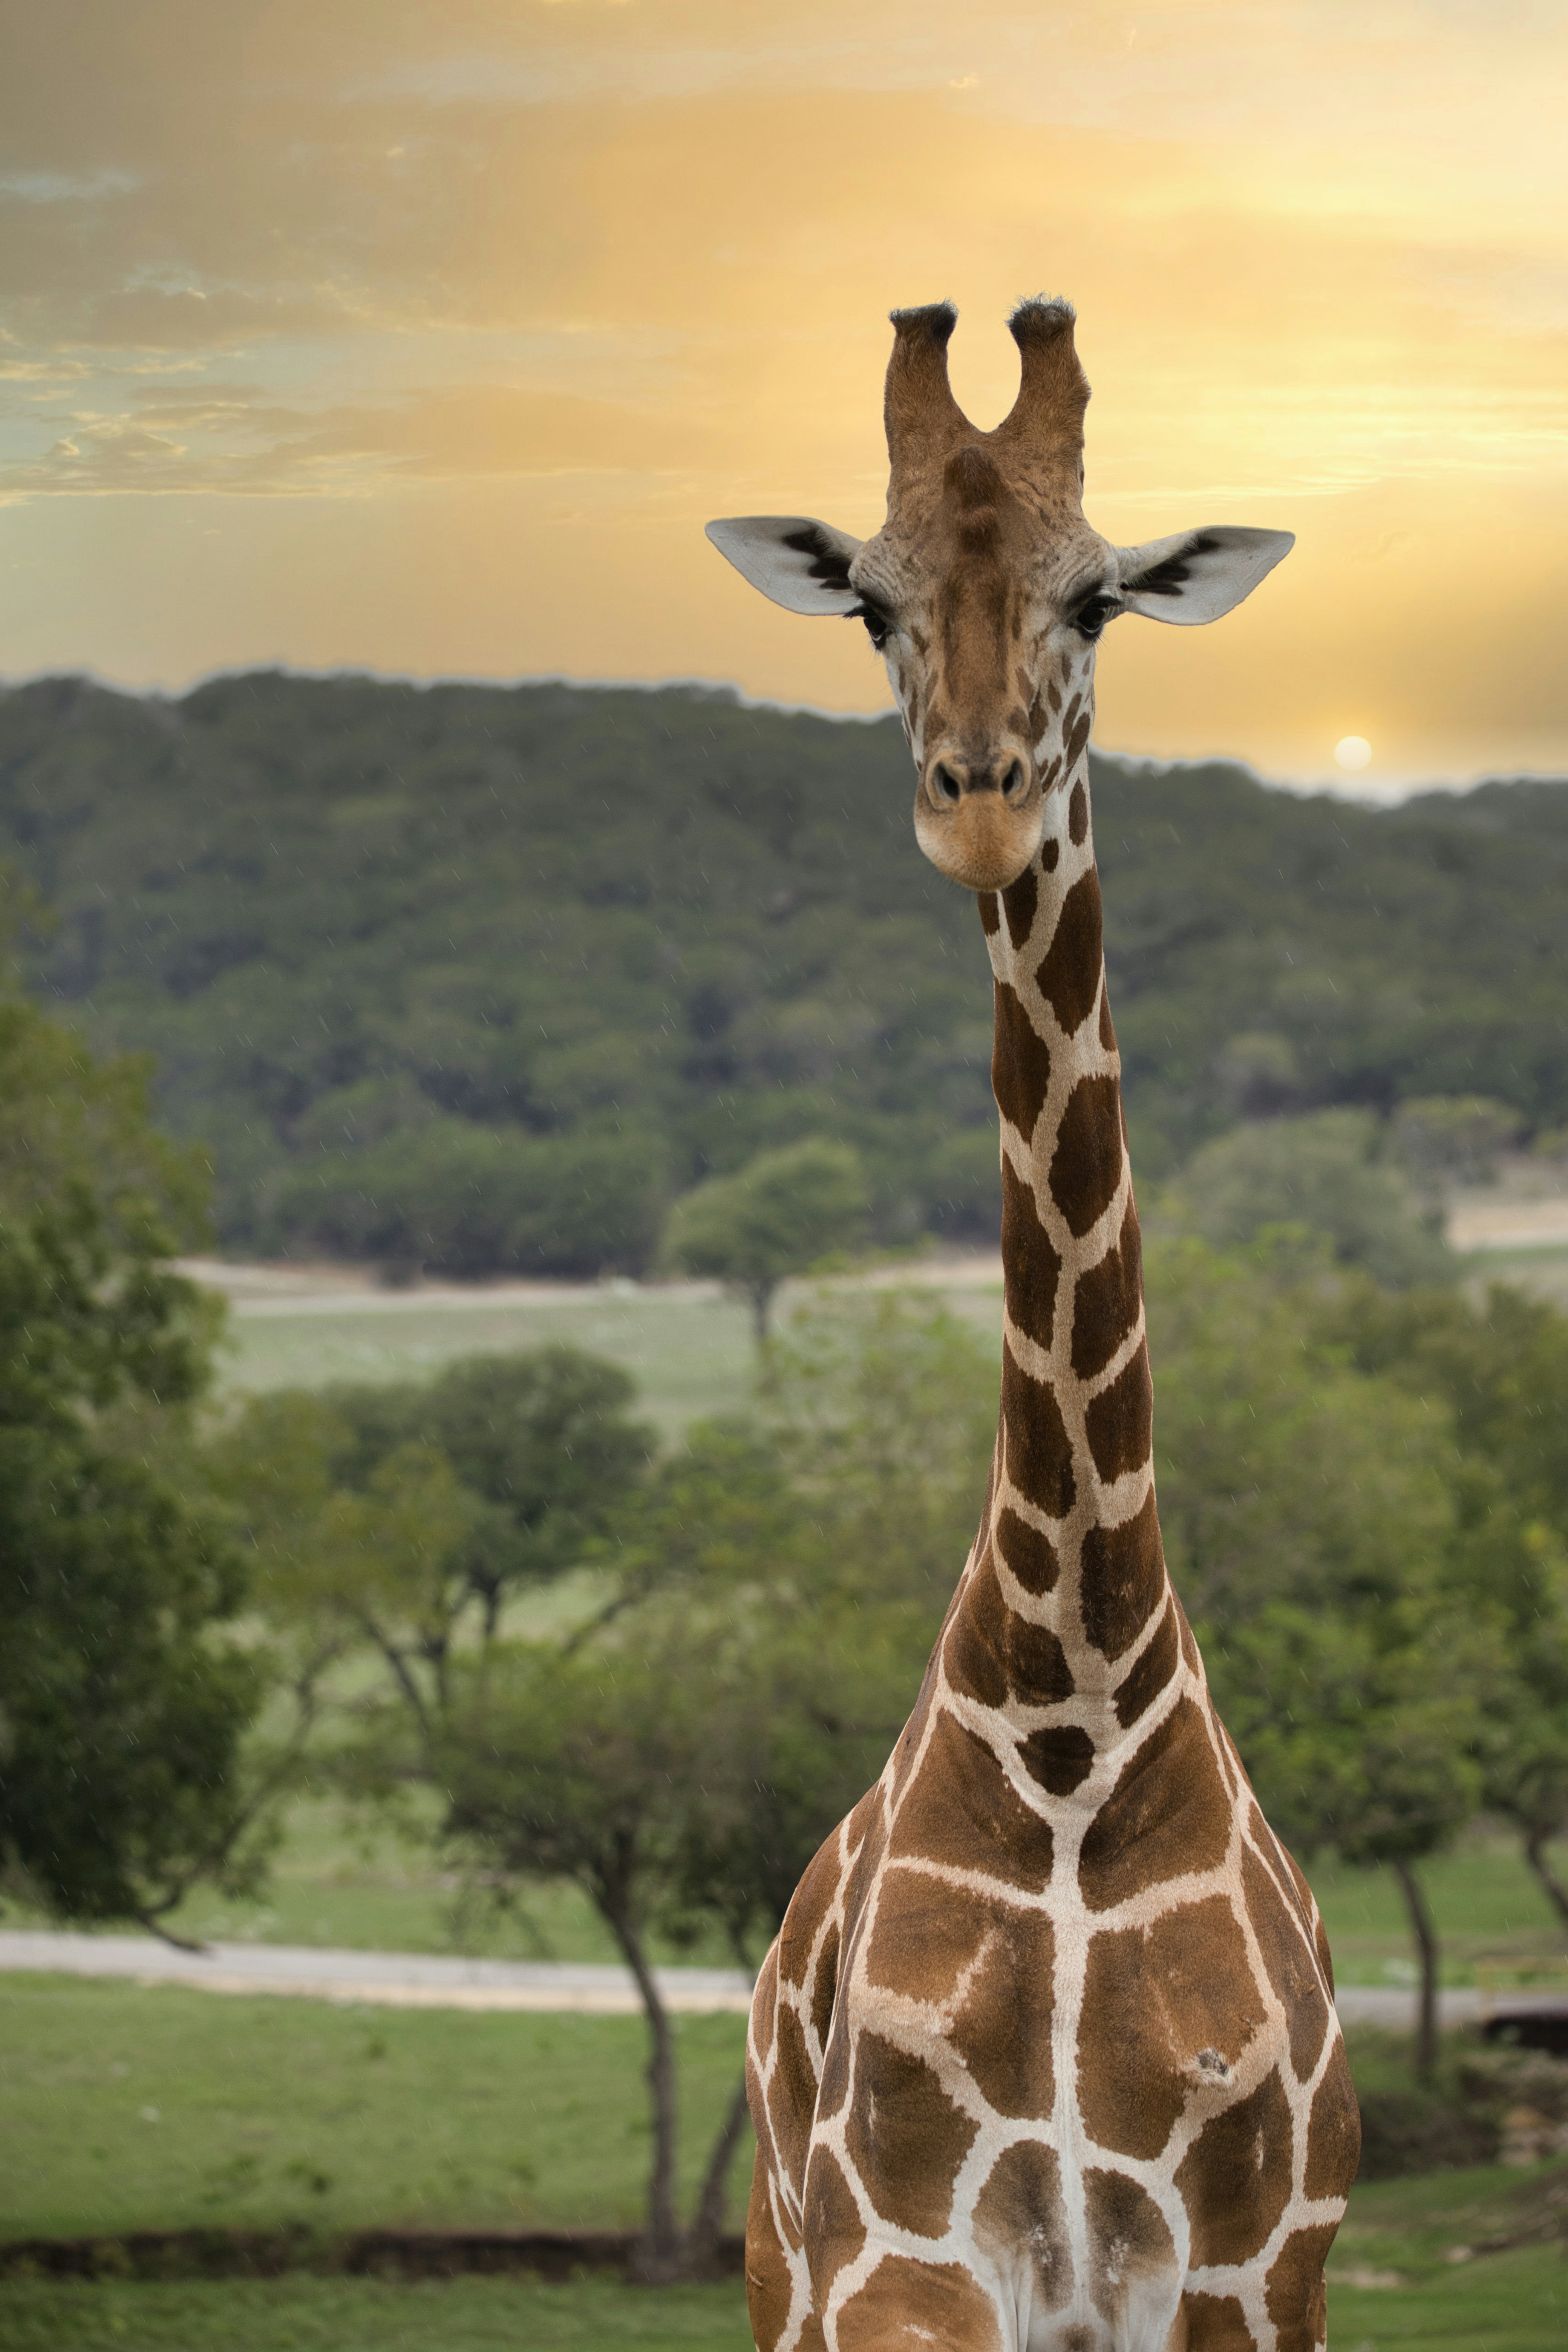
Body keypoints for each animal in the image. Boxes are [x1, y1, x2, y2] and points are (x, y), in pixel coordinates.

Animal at [704, 298, 1362, 2352]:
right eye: (872, 602)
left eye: (1097, 596)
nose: (979, 804)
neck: (1074, 1702)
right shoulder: (896, 2266)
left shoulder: (1242, 2278)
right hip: (776, 2271)